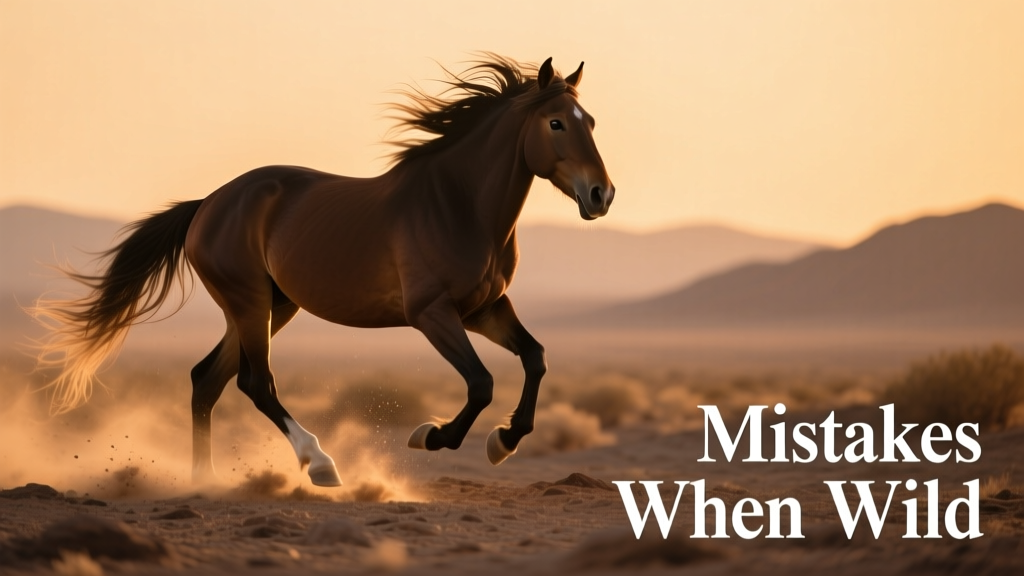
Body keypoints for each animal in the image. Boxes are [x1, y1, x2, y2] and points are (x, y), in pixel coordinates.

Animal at [32, 55, 614, 487]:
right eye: (556, 123)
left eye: (591, 122)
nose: (601, 195)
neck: (458, 205)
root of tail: (208, 204)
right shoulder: (433, 313)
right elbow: (481, 383)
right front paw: (432, 435)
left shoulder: (485, 309)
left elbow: (535, 359)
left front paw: (503, 441)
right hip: (250, 303)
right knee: (254, 382)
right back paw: (320, 464)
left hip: (272, 305)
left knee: (207, 379)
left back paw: (206, 481)